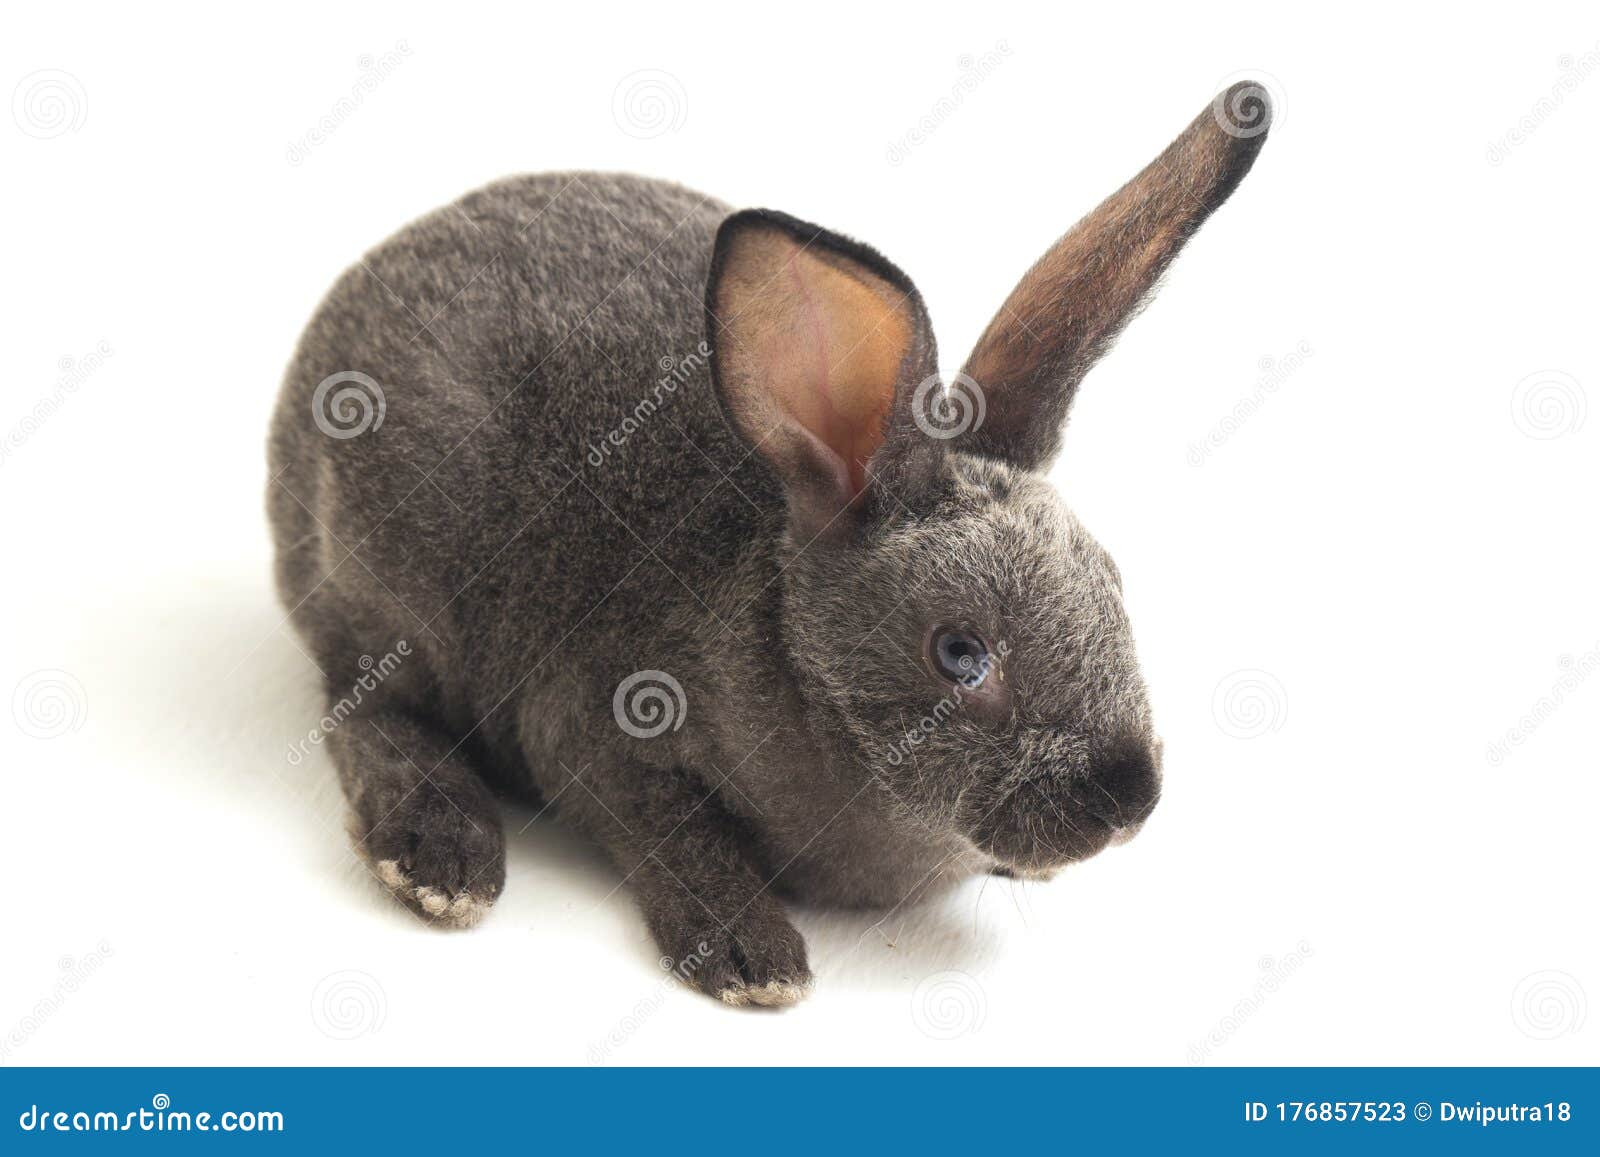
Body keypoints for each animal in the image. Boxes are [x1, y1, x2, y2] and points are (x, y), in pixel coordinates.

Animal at [268, 82, 1271, 1006]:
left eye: (1113, 588)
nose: (1128, 801)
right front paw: (754, 957)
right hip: (393, 591)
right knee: (363, 703)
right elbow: (671, 830)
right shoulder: (598, 726)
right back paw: (439, 856)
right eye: (959, 652)